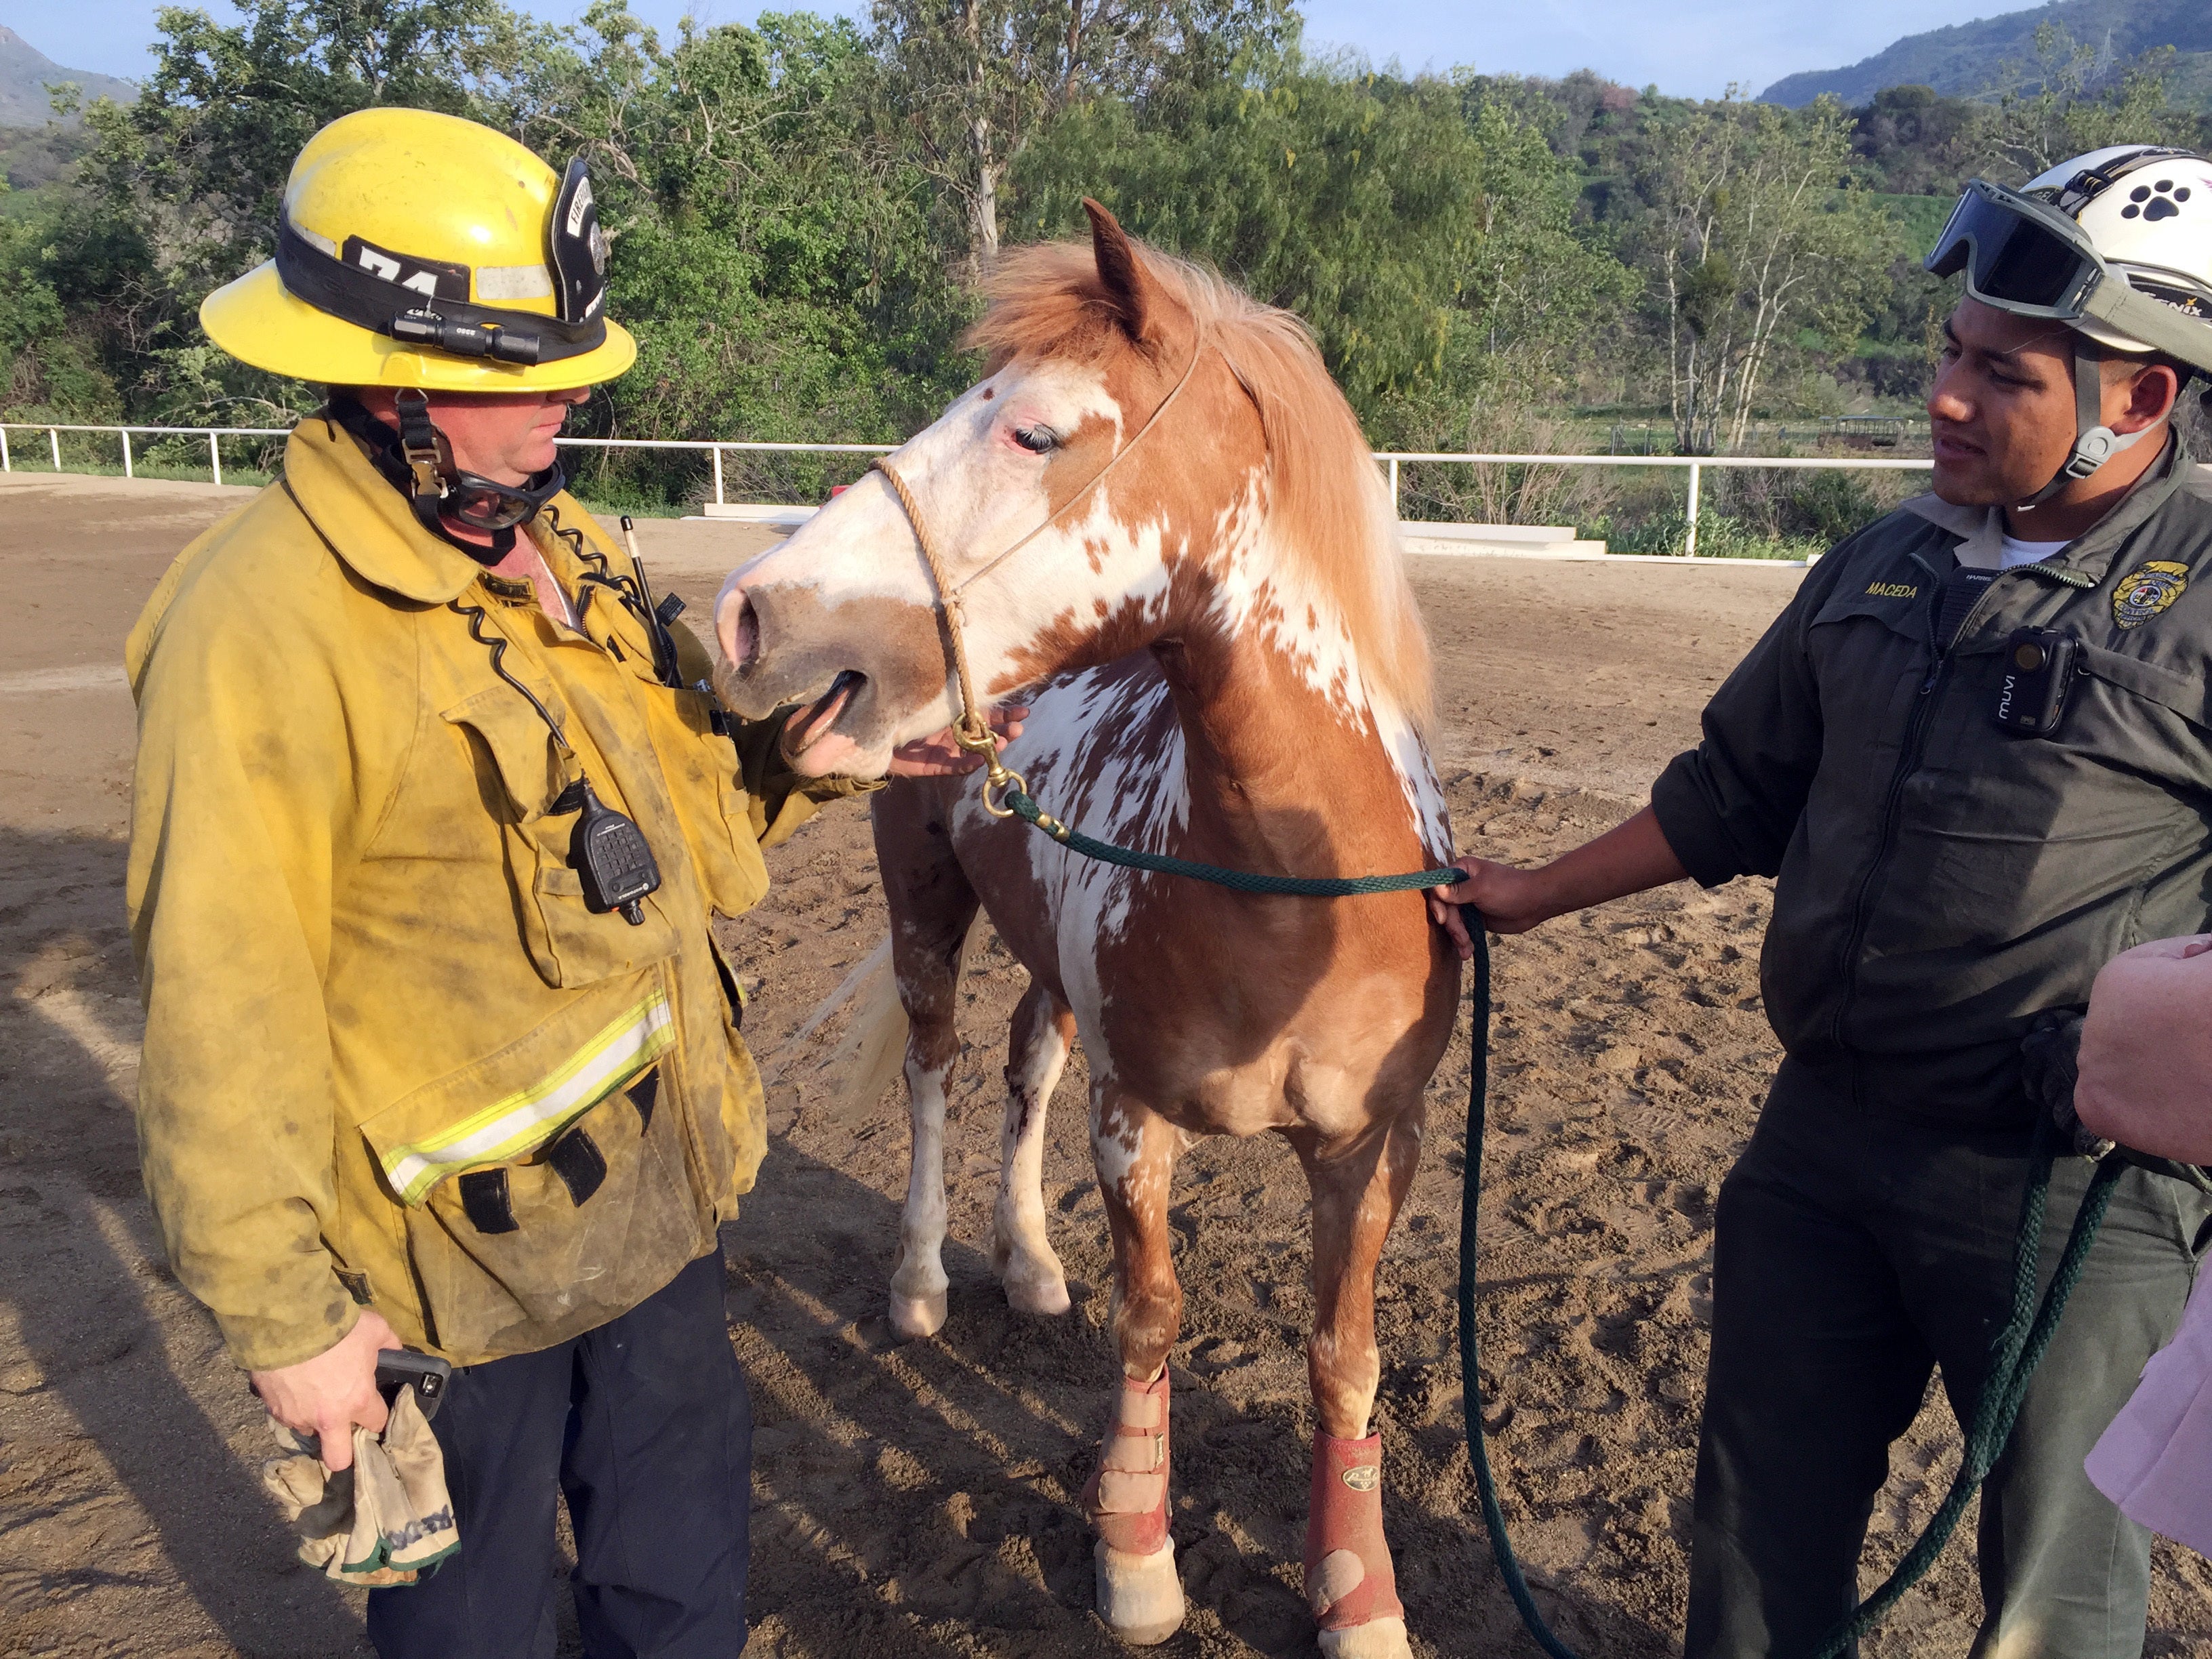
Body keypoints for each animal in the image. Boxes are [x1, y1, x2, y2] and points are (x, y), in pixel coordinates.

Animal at [714, 202, 1458, 1657]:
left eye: (1034, 432)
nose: (749, 611)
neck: (1295, 890)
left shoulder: (1370, 1147)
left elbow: (1342, 1354)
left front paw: (1358, 1592)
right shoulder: (1136, 1121)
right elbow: (1153, 1317)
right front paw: (1134, 1556)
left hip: (1046, 959)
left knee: (1022, 1066)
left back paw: (1026, 1262)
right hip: (923, 906)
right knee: (936, 1069)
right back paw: (925, 1280)